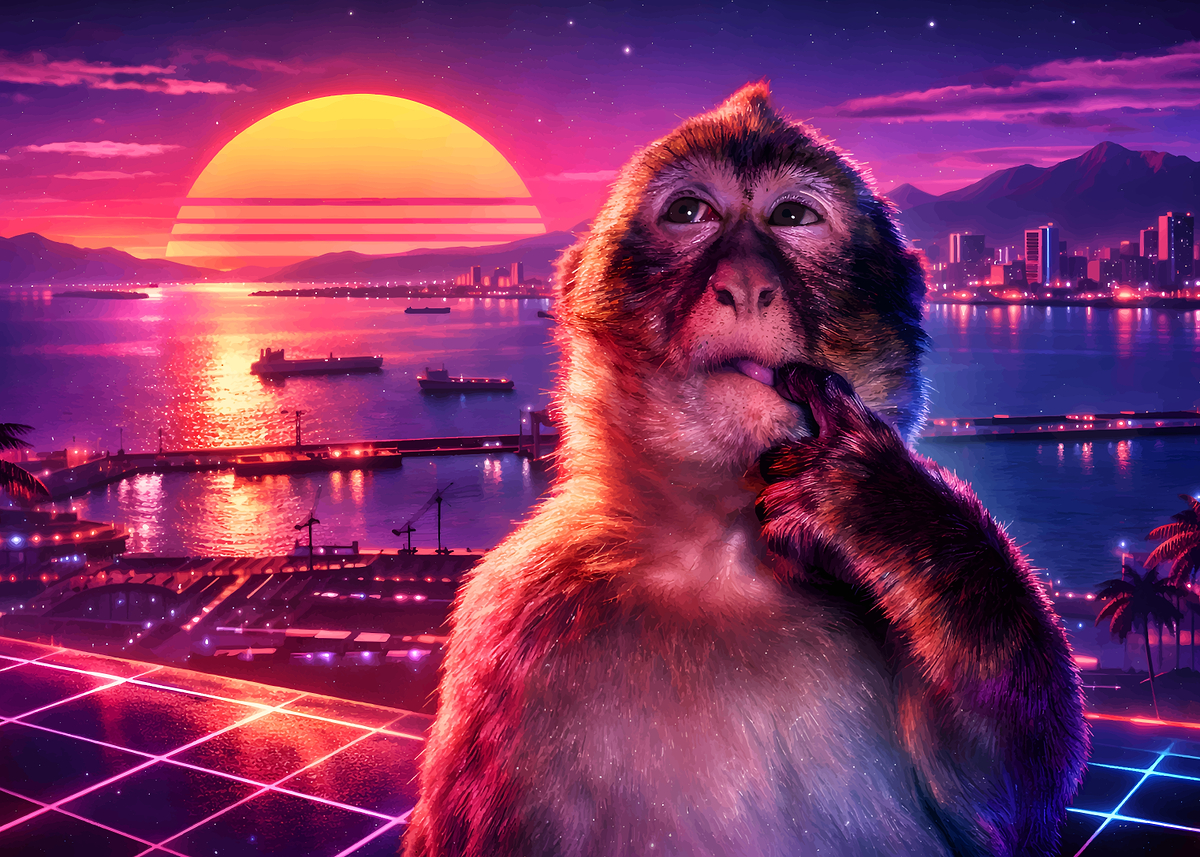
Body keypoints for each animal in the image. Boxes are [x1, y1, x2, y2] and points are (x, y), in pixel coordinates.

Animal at [403, 83, 1088, 857]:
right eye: (689, 212)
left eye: (792, 216)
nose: (746, 285)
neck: (718, 558)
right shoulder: (509, 622)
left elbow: (997, 808)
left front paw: (875, 504)